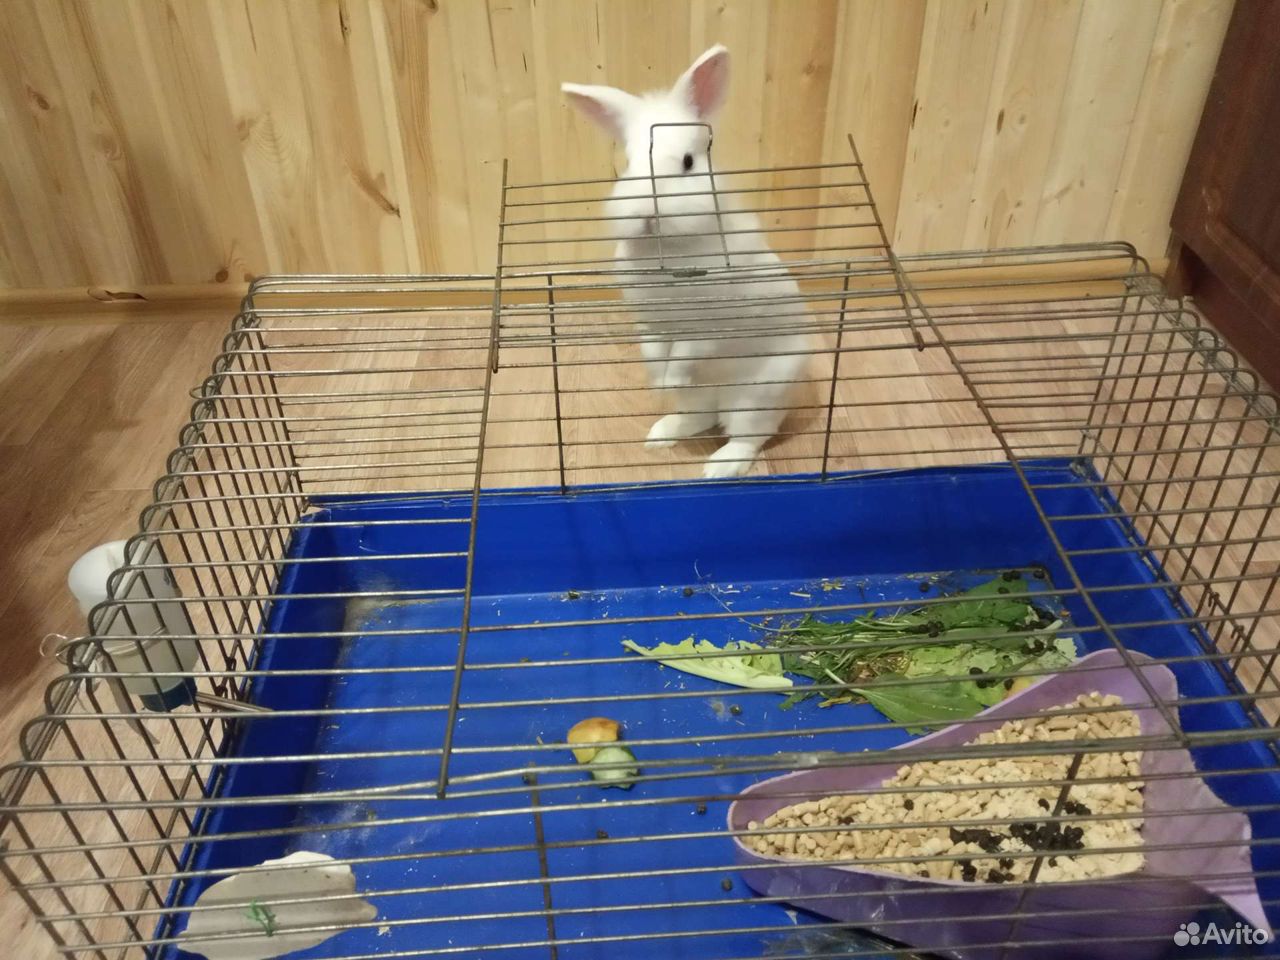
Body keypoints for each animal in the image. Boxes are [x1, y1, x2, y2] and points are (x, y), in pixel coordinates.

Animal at [562, 44, 812, 479]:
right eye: (627, 165)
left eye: (688, 162)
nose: (646, 214)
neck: (668, 249)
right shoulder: (650, 324)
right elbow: (653, 351)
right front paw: (658, 385)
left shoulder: (710, 324)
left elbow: (685, 352)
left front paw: (669, 380)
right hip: (703, 397)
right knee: (700, 416)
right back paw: (661, 435)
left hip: (758, 395)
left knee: (748, 436)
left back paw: (718, 467)